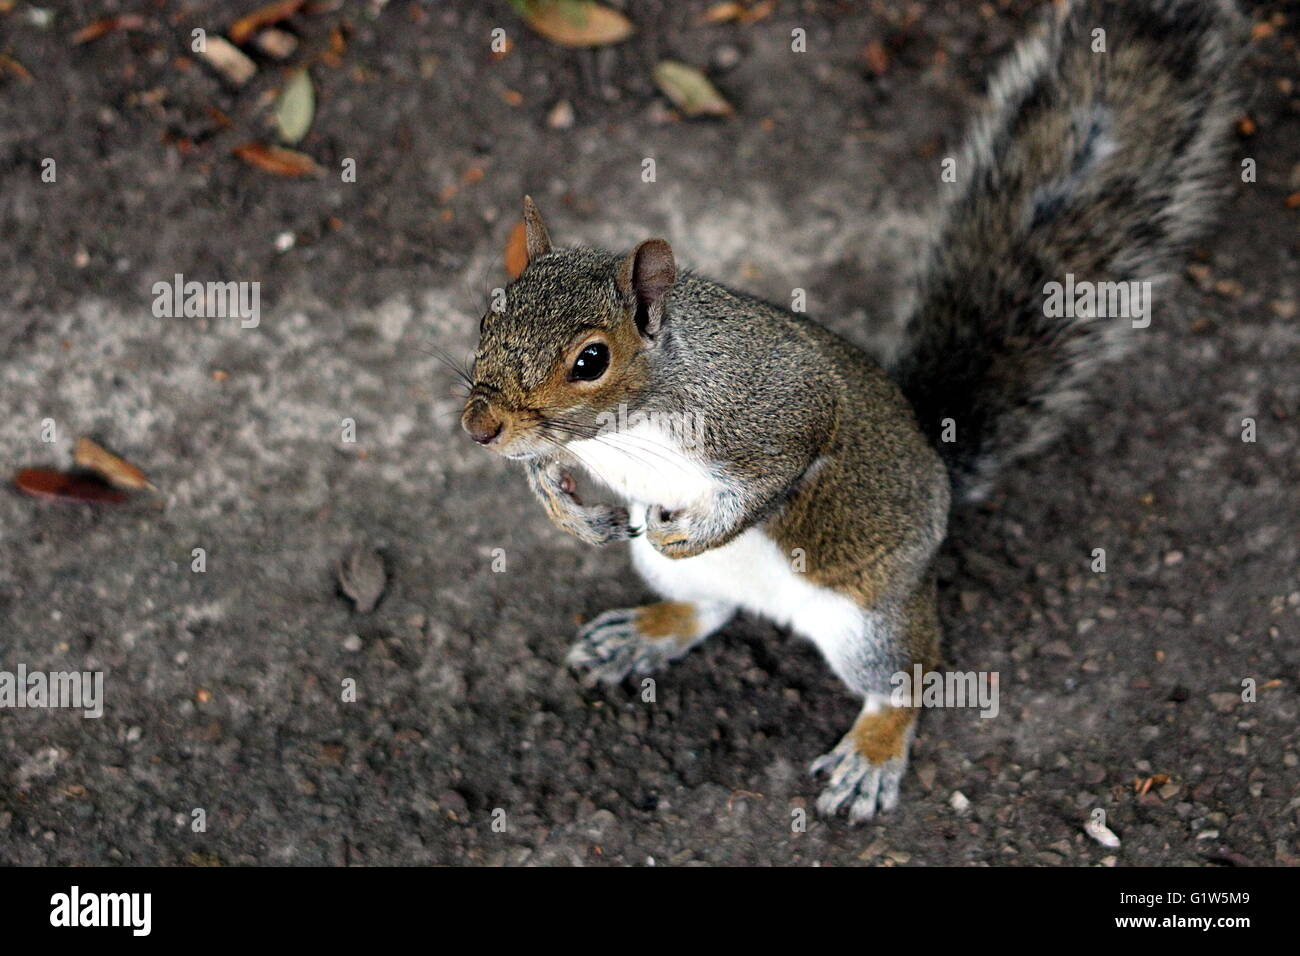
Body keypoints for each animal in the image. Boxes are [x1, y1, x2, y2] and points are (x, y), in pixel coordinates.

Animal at [460, 0, 1244, 823]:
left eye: (590, 362)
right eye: (487, 316)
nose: (479, 426)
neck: (634, 417)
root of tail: (938, 467)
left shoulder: (779, 412)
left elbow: (774, 479)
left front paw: (696, 529)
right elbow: (547, 466)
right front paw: (565, 509)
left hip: (873, 622)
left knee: (906, 681)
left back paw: (870, 755)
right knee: (706, 610)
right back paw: (641, 634)